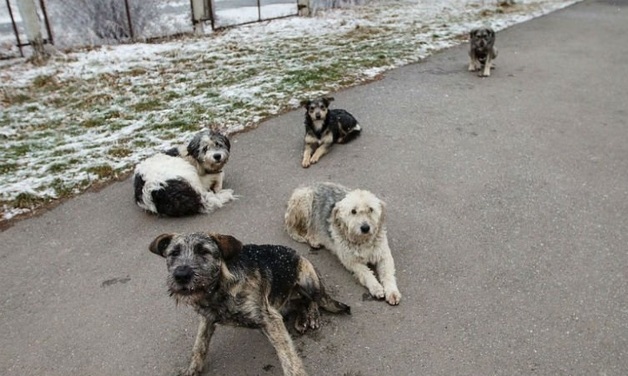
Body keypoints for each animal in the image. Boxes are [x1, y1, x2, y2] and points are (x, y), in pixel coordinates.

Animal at [150, 232, 350, 376]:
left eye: (204, 251)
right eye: (174, 253)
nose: (181, 275)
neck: (220, 289)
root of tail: (300, 255)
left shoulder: (270, 319)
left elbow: (289, 359)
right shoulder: (207, 319)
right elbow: (199, 345)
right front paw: (192, 369)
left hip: (307, 281)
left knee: (315, 299)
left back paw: (312, 315)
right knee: (299, 302)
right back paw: (301, 318)